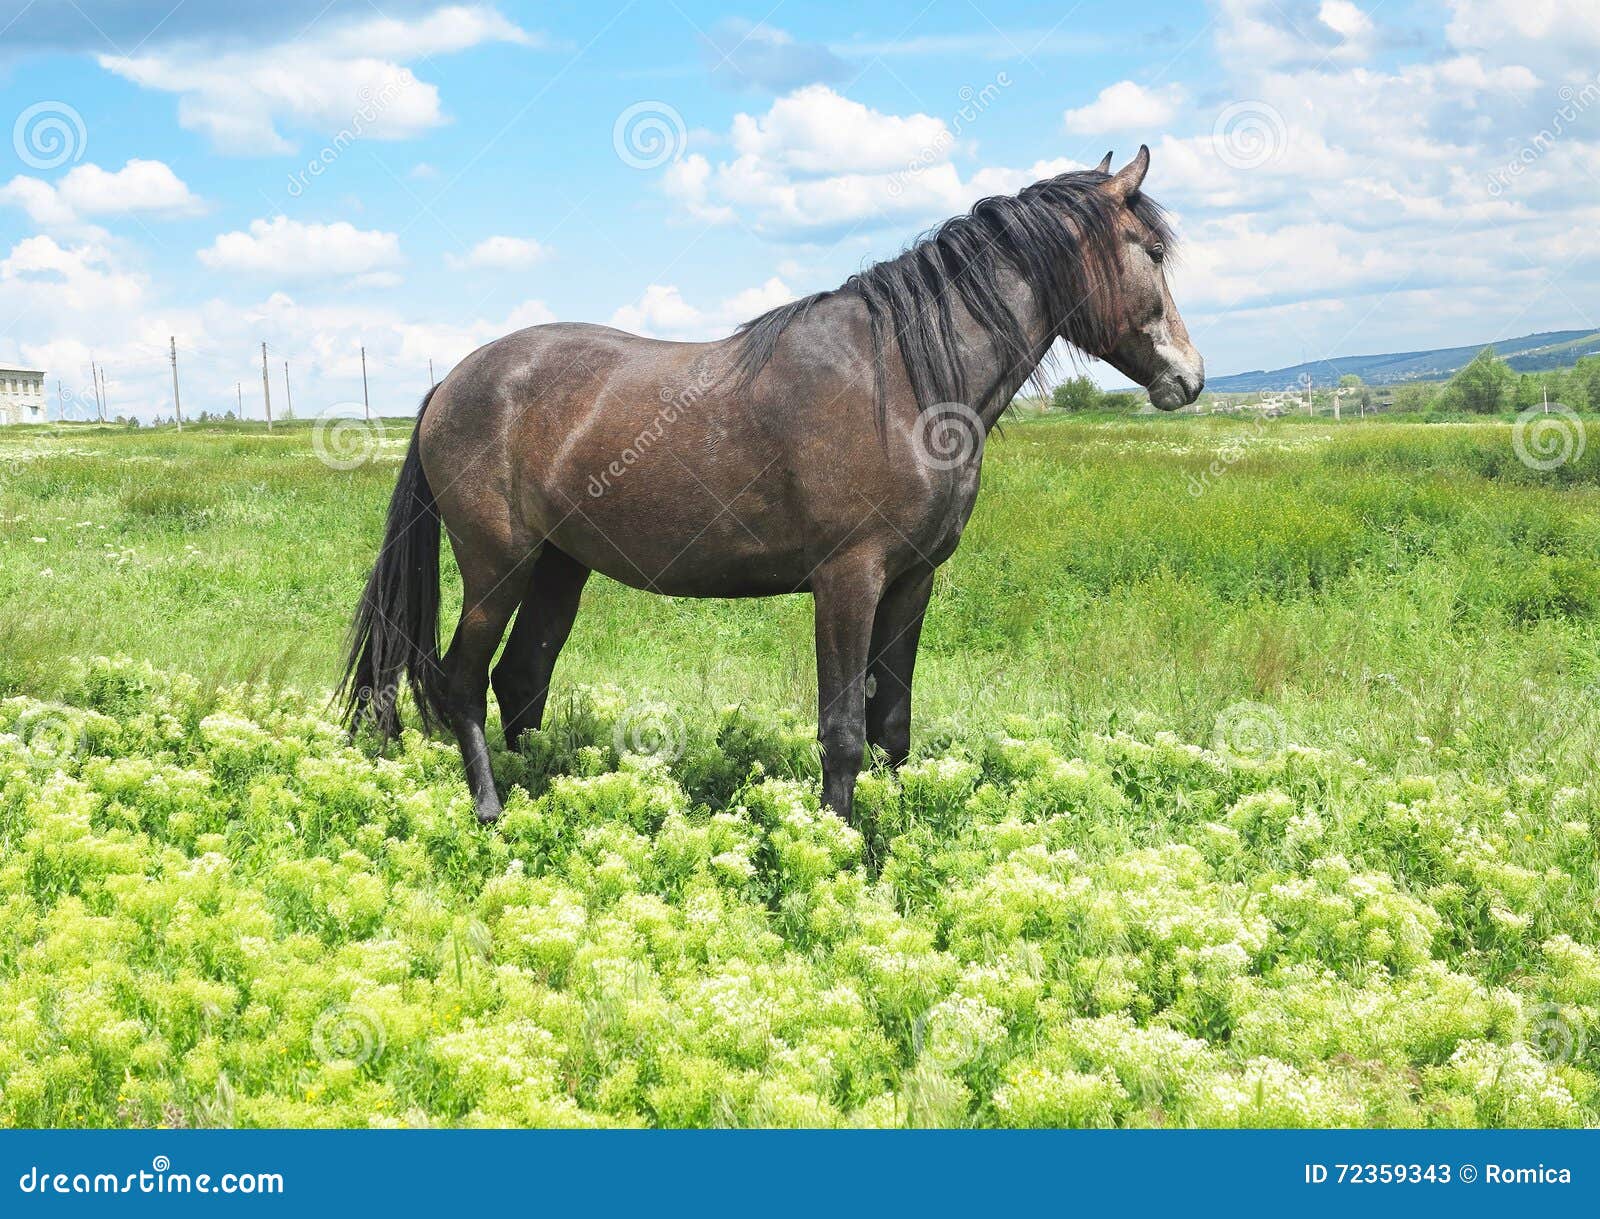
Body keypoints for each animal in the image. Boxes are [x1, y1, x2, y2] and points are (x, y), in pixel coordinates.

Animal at [340, 145, 1204, 826]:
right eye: (1151, 252)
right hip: (499, 565)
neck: (904, 378)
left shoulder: (912, 581)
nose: (1190, 378)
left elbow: (892, 724)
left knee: (521, 679)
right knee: (461, 680)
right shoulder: (848, 580)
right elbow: (843, 731)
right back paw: (491, 808)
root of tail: (453, 382)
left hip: (561, 566)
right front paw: (842, 852)